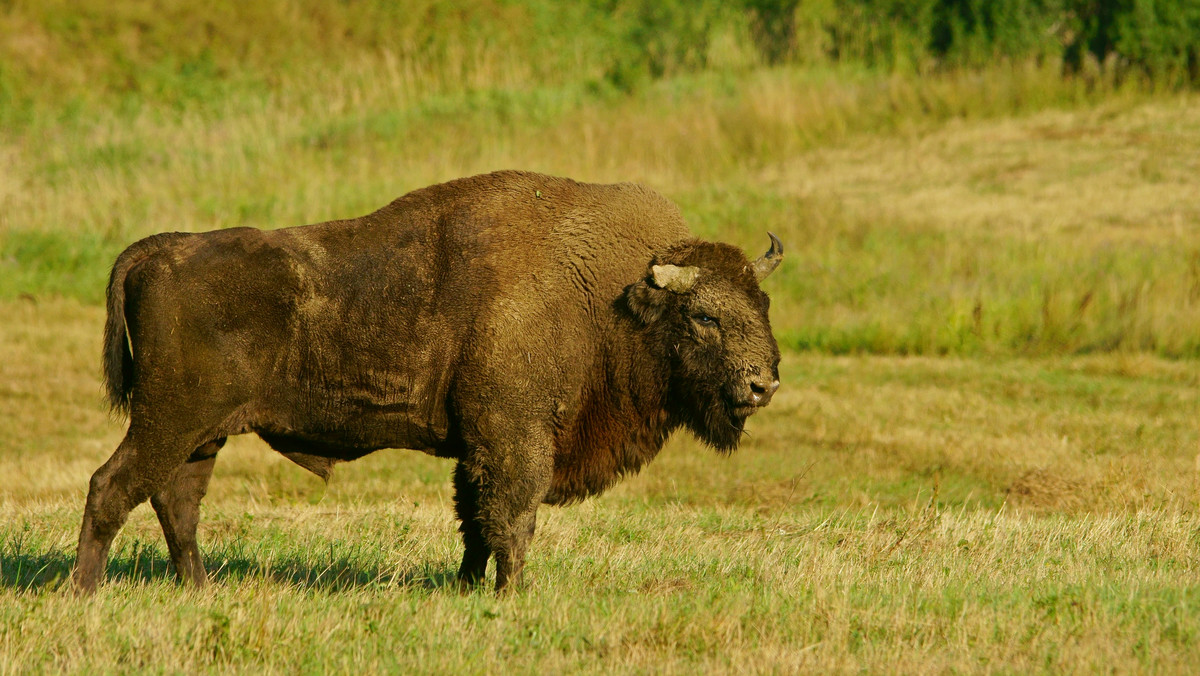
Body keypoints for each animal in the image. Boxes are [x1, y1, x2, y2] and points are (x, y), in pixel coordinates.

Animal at [77, 169, 787, 593]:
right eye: (703, 316)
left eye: (762, 305)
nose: (763, 386)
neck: (604, 295)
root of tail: (160, 249)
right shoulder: (515, 441)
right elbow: (512, 519)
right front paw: (513, 594)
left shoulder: (476, 449)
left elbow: (474, 520)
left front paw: (472, 587)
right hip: (169, 422)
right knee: (112, 488)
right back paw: (85, 593)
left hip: (202, 435)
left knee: (177, 503)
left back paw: (199, 589)